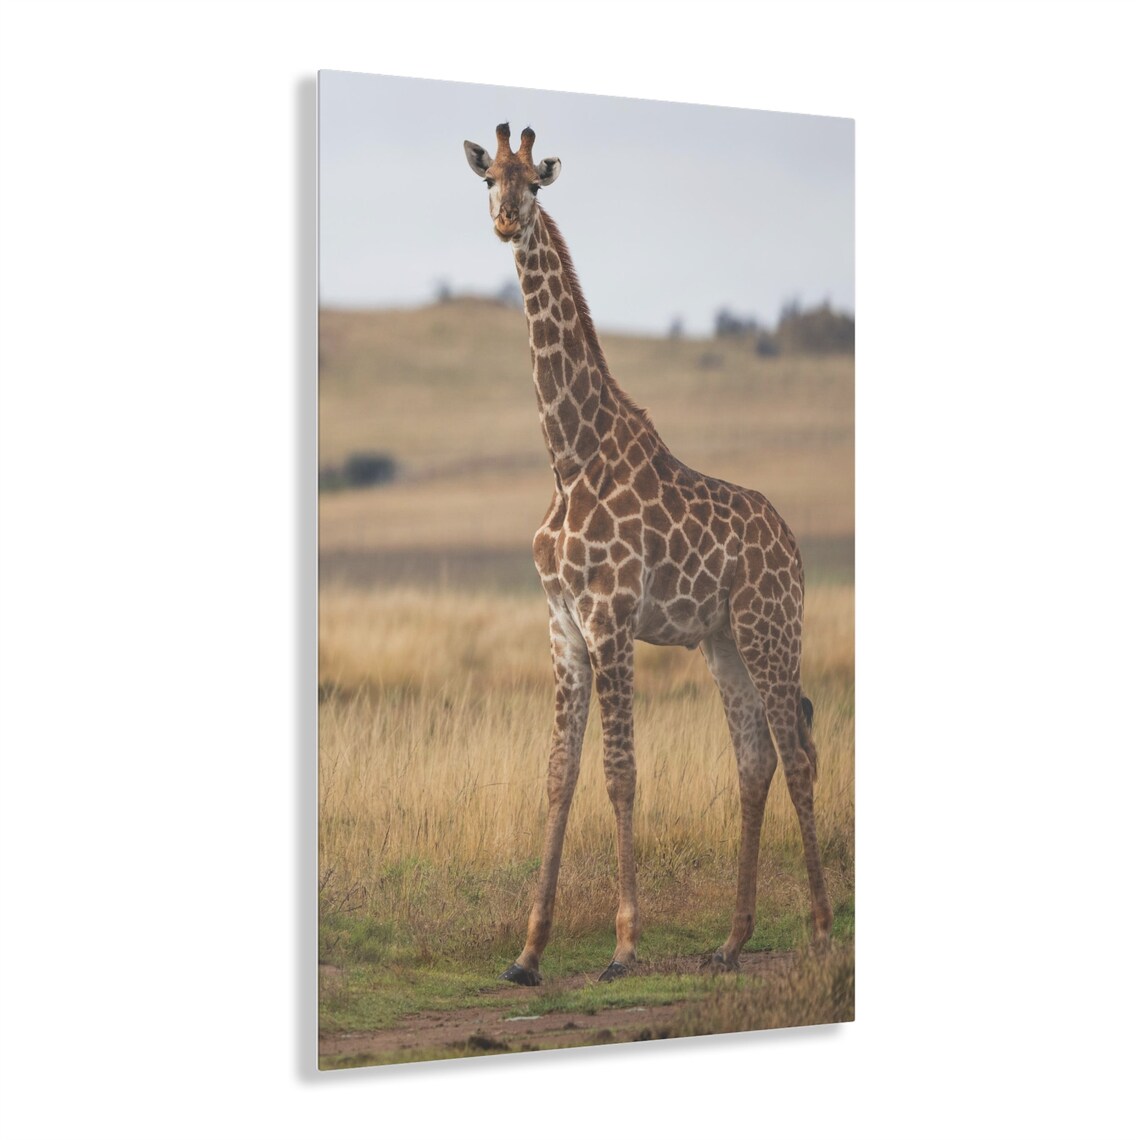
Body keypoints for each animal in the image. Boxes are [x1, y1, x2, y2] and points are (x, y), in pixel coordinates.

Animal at [463, 123, 831, 985]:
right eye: (489, 178)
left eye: (535, 182)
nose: (505, 220)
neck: (568, 455)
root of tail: (795, 549)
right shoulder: (563, 625)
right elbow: (559, 774)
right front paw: (528, 953)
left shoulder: (612, 616)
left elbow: (620, 772)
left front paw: (624, 946)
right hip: (723, 641)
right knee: (754, 758)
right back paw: (731, 942)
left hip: (771, 628)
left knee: (797, 750)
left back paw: (822, 928)